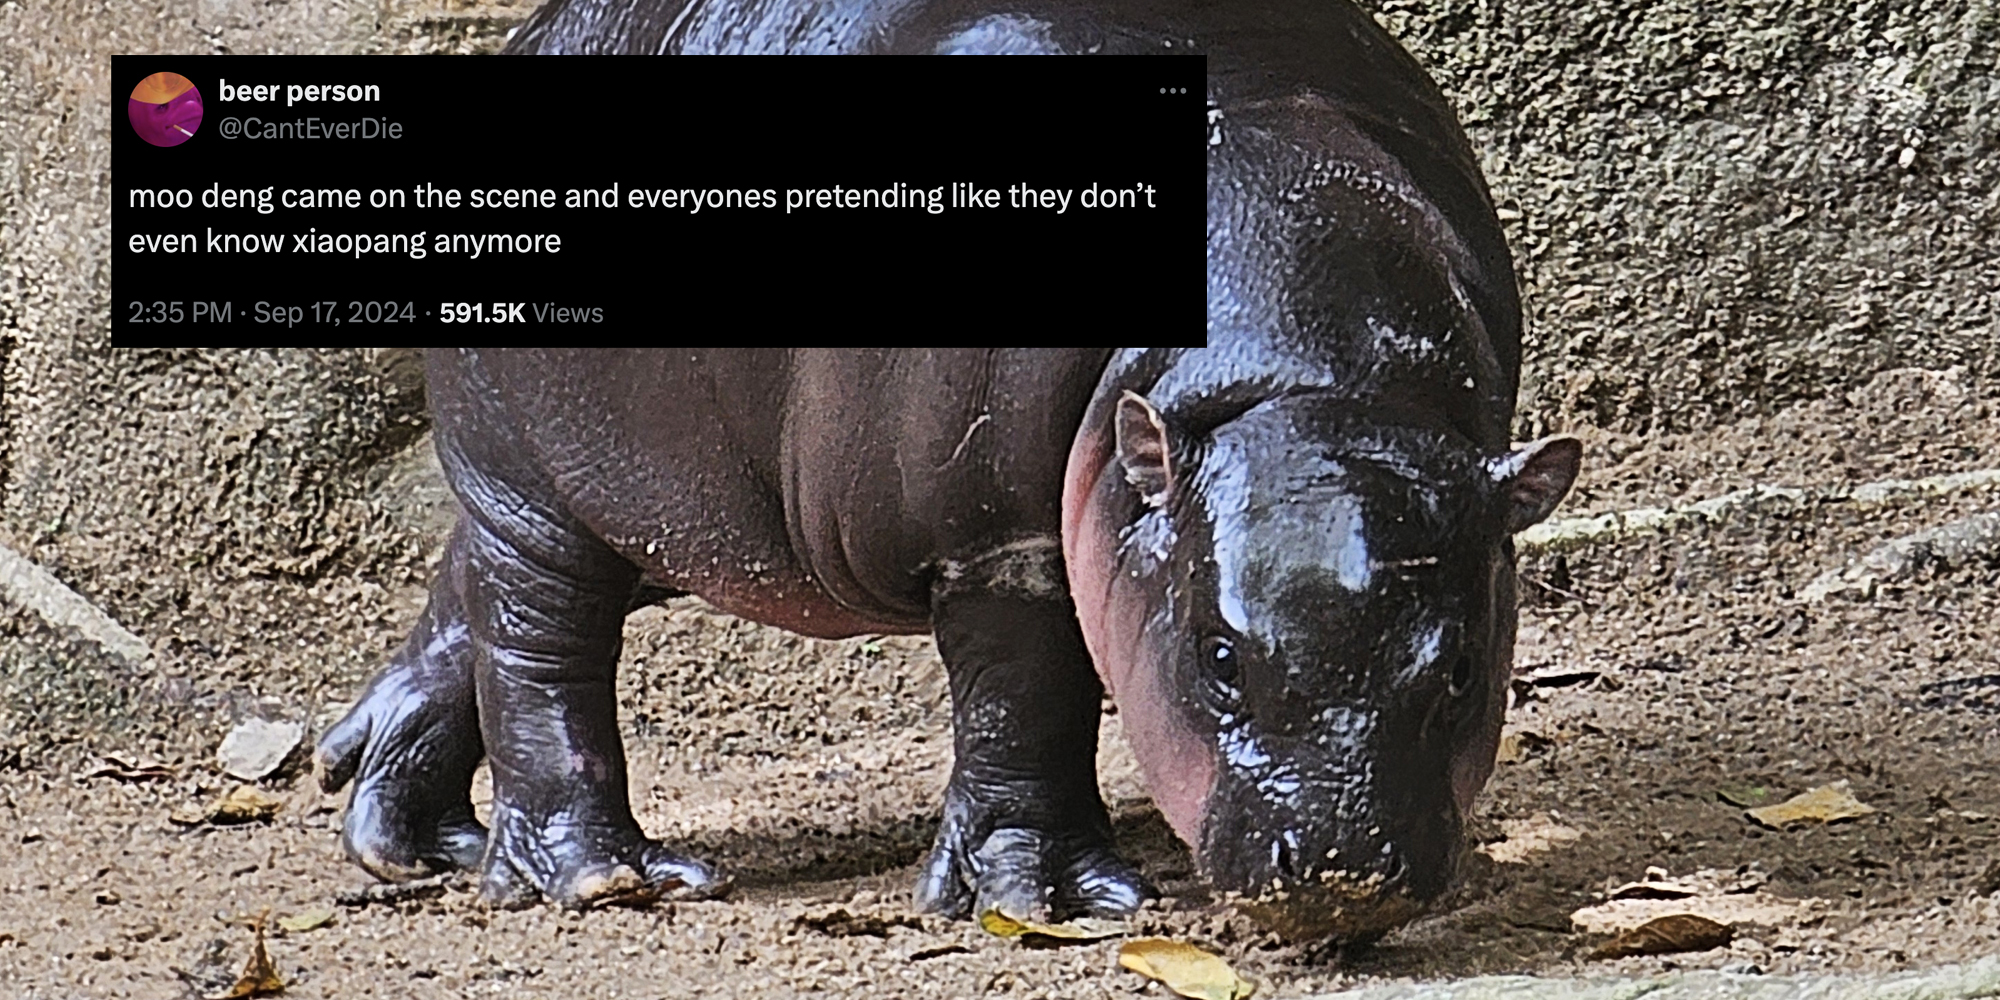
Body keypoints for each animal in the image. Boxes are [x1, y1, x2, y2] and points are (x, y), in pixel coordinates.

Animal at [313, 0, 1582, 942]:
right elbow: (1022, 700)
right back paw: (603, 874)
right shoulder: (994, 535)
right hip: (539, 493)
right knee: (539, 652)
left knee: (466, 600)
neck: (1293, 372)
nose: (1341, 872)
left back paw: (405, 830)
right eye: (1217, 656)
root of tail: (528, 36)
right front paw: (1041, 896)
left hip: (664, 511)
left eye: (1460, 666)